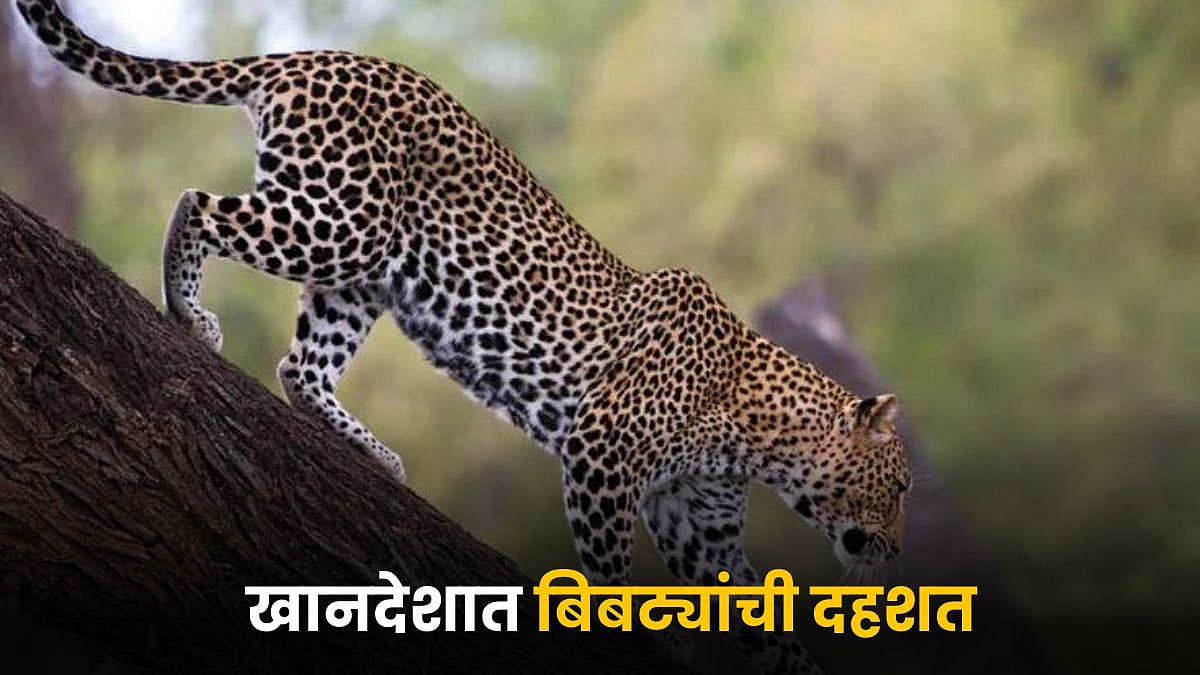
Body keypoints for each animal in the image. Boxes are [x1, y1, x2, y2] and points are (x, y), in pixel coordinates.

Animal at [18, 1, 912, 672]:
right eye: (901, 486)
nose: (898, 553)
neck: (759, 435)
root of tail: (312, 56)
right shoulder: (602, 453)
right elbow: (611, 568)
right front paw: (626, 637)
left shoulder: (704, 529)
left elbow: (770, 628)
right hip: (333, 222)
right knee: (198, 204)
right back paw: (188, 312)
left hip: (365, 273)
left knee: (300, 364)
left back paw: (370, 451)